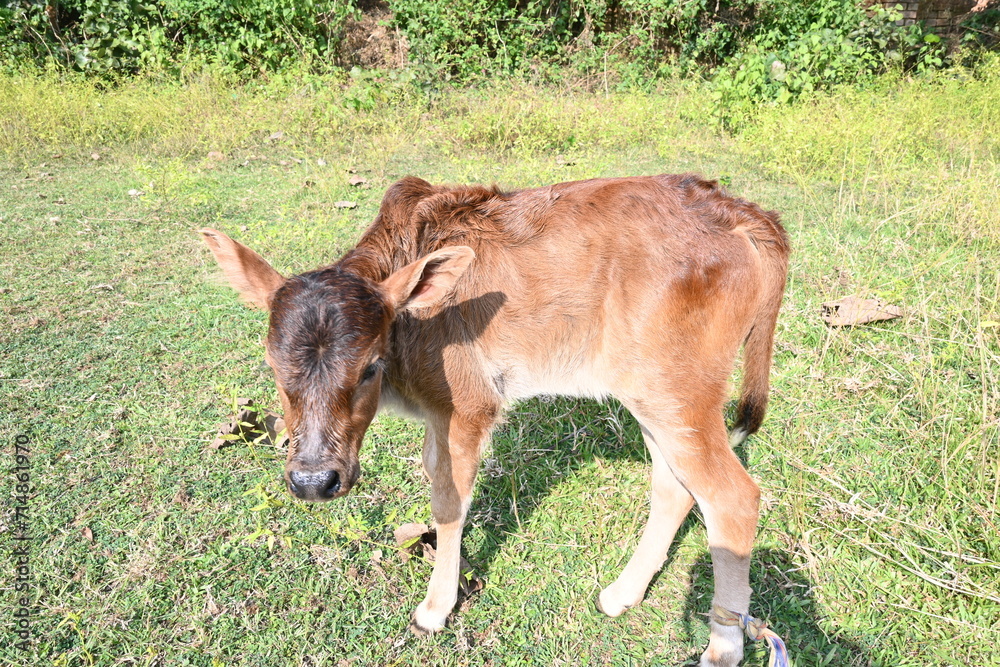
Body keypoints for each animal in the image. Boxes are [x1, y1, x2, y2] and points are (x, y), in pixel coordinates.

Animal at [199, 173, 789, 666]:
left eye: (369, 366)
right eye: (273, 366)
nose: (313, 480)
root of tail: (743, 214)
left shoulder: (467, 404)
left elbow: (448, 502)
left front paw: (436, 608)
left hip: (678, 389)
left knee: (733, 496)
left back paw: (721, 647)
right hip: (652, 394)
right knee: (675, 487)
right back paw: (623, 593)